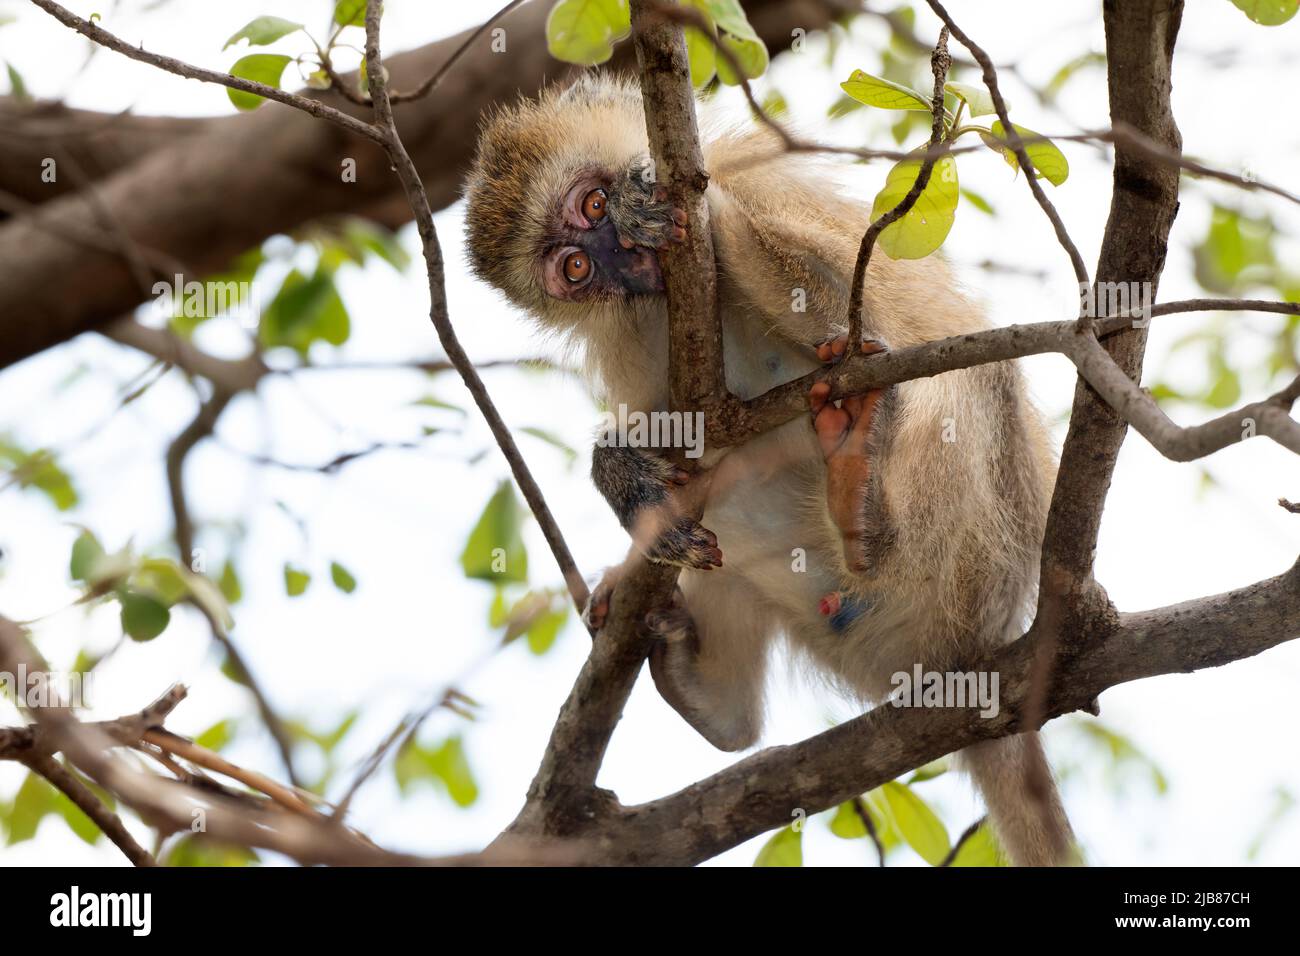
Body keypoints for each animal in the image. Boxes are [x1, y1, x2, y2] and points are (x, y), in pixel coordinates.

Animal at [464, 74, 1075, 866]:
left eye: (592, 206)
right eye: (575, 269)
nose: (619, 255)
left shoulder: (770, 189)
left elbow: (866, 322)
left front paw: (690, 203)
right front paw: (624, 479)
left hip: (978, 562)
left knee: (970, 381)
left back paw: (864, 503)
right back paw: (707, 683)